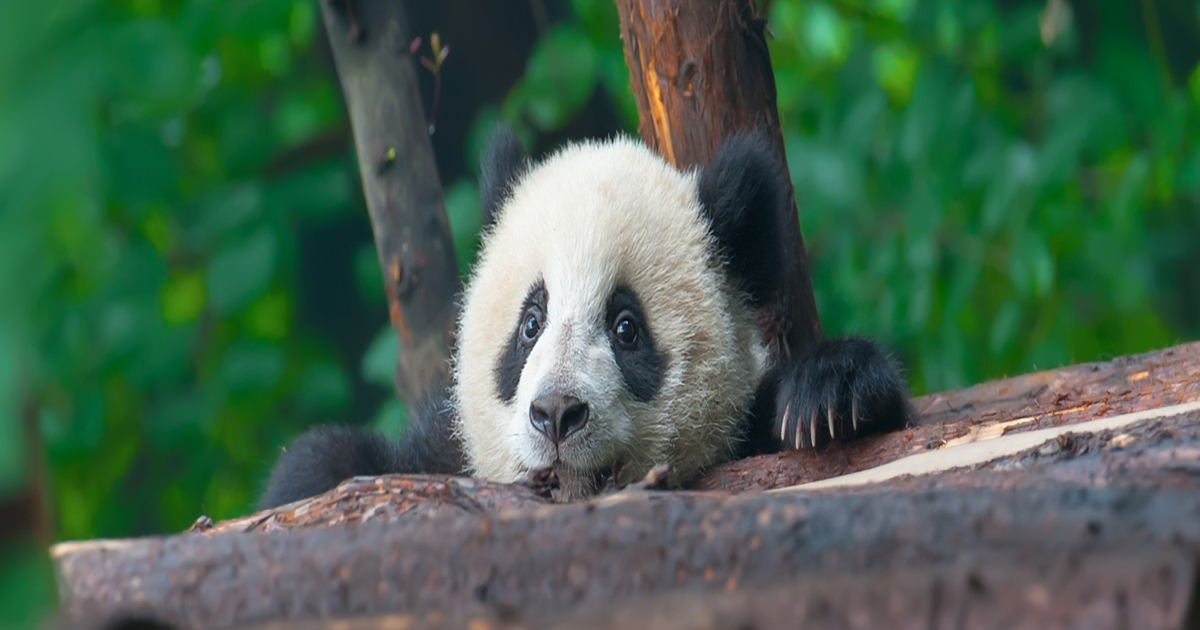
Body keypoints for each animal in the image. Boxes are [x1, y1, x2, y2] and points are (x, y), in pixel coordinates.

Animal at [259, 127, 911, 508]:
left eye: (626, 328)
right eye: (531, 324)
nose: (555, 415)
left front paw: (828, 396)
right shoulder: (445, 454)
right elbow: (340, 461)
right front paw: (309, 478)